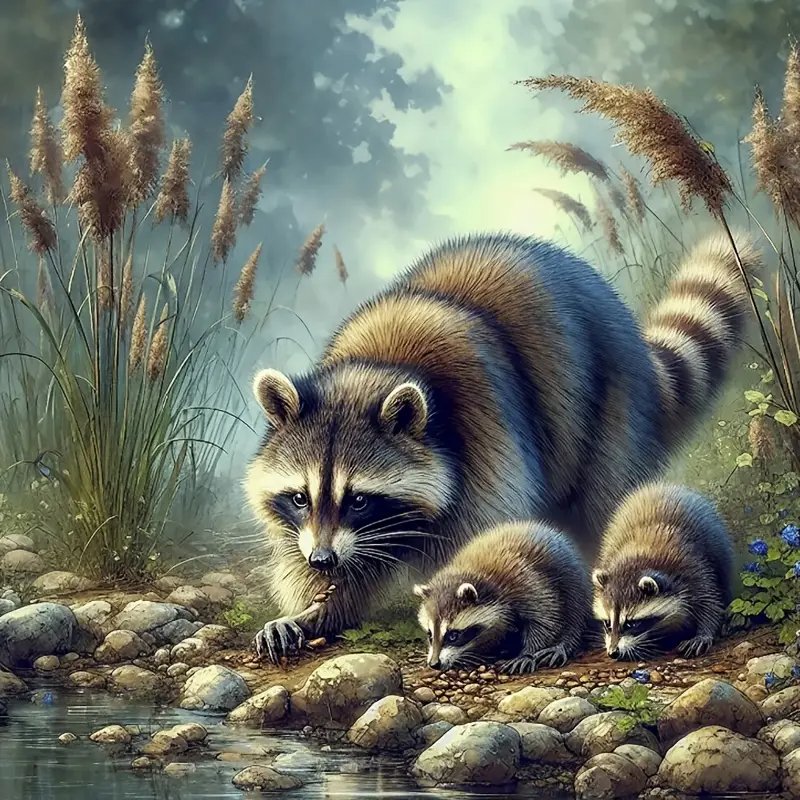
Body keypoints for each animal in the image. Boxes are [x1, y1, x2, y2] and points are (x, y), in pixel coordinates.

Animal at [414, 520, 591, 674]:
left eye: (453, 635)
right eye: (430, 634)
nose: (434, 664)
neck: (474, 573)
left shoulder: (527, 582)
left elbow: (546, 619)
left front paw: (527, 653)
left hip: (572, 580)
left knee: (574, 614)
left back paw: (563, 644)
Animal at [592, 482, 734, 660]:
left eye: (631, 623)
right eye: (607, 623)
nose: (612, 653)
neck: (638, 555)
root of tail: (664, 485)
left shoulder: (690, 566)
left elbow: (709, 600)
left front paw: (703, 633)